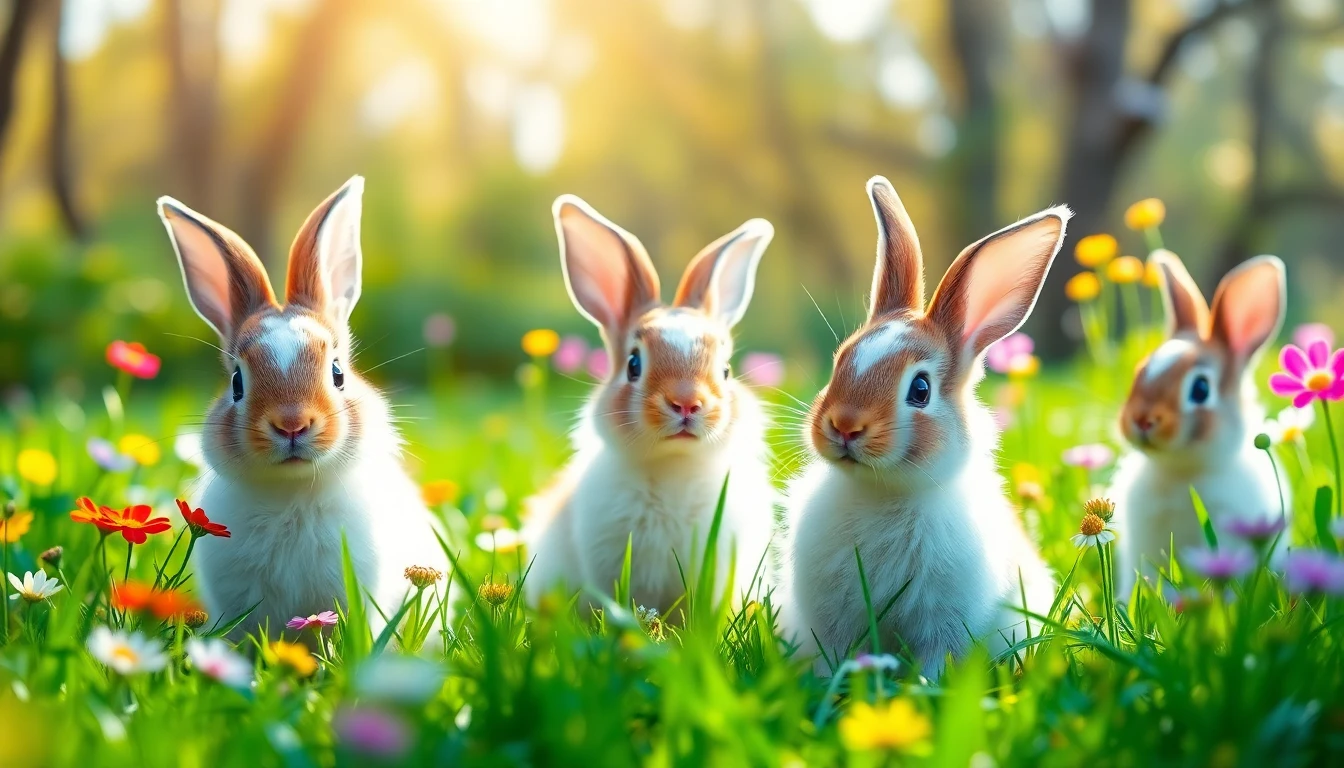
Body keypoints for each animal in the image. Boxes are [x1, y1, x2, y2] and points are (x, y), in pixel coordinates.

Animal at [778, 176, 1066, 680]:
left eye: (920, 389)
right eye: (840, 361)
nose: (844, 426)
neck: (884, 492)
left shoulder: (944, 623)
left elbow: (936, 662)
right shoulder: (831, 622)